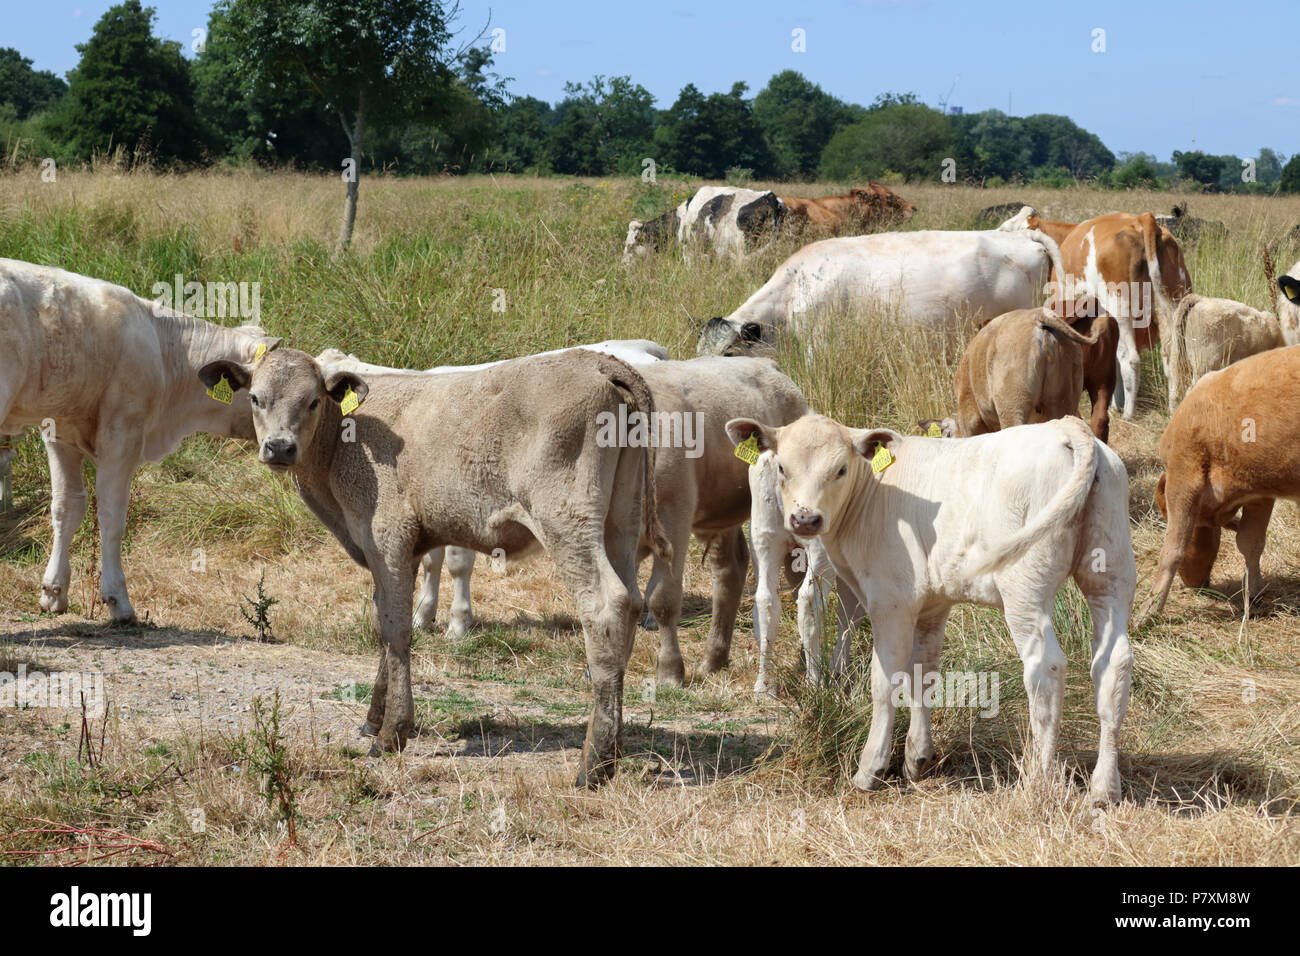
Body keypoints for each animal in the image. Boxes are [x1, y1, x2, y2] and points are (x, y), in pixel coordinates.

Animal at [0, 258, 280, 622]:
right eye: (261, 393)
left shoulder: (60, 432)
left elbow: (67, 507)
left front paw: (54, 592)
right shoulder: (123, 433)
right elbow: (111, 514)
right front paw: (118, 600)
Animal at [198, 346, 672, 786]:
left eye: (313, 401)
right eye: (255, 398)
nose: (280, 447)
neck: (341, 445)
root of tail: (599, 361)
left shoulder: (388, 535)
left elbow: (396, 630)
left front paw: (392, 733)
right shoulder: (393, 552)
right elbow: (384, 619)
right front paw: (374, 716)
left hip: (566, 516)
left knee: (606, 606)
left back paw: (594, 766)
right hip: (620, 521)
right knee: (630, 605)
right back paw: (613, 746)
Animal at [723, 413, 1135, 804]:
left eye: (840, 469)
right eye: (781, 467)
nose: (805, 518)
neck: (873, 495)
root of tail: (1065, 428)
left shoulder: (891, 599)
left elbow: (885, 680)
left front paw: (870, 769)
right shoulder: (931, 604)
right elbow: (923, 672)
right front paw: (917, 758)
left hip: (1025, 588)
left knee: (1045, 667)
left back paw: (1039, 780)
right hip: (1110, 572)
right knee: (1112, 664)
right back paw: (1104, 789)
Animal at [999, 209, 1192, 418]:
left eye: (1007, 230)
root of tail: (1142, 219)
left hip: (1121, 309)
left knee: (1131, 358)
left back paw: (1128, 414)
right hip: (1172, 305)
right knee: (1171, 358)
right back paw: (1173, 408)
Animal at [1139, 346, 1300, 622]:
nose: (1193, 585)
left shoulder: (1184, 471)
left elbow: (1172, 549)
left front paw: (1147, 610)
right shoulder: (1259, 493)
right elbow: (1251, 542)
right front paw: (1253, 595)